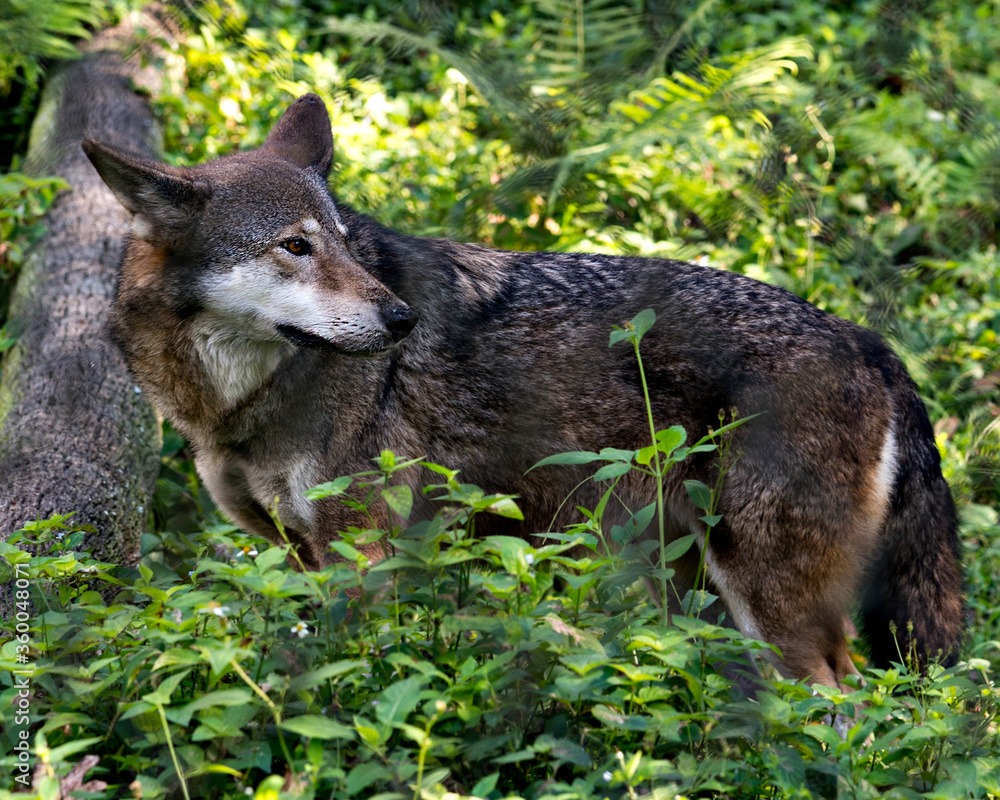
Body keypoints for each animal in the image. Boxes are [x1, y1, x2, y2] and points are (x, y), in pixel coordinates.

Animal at [82, 93, 963, 688]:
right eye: (293, 247)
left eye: (339, 243)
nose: (401, 319)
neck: (235, 404)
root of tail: (869, 341)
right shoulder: (299, 555)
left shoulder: (361, 555)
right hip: (698, 596)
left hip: (767, 609)